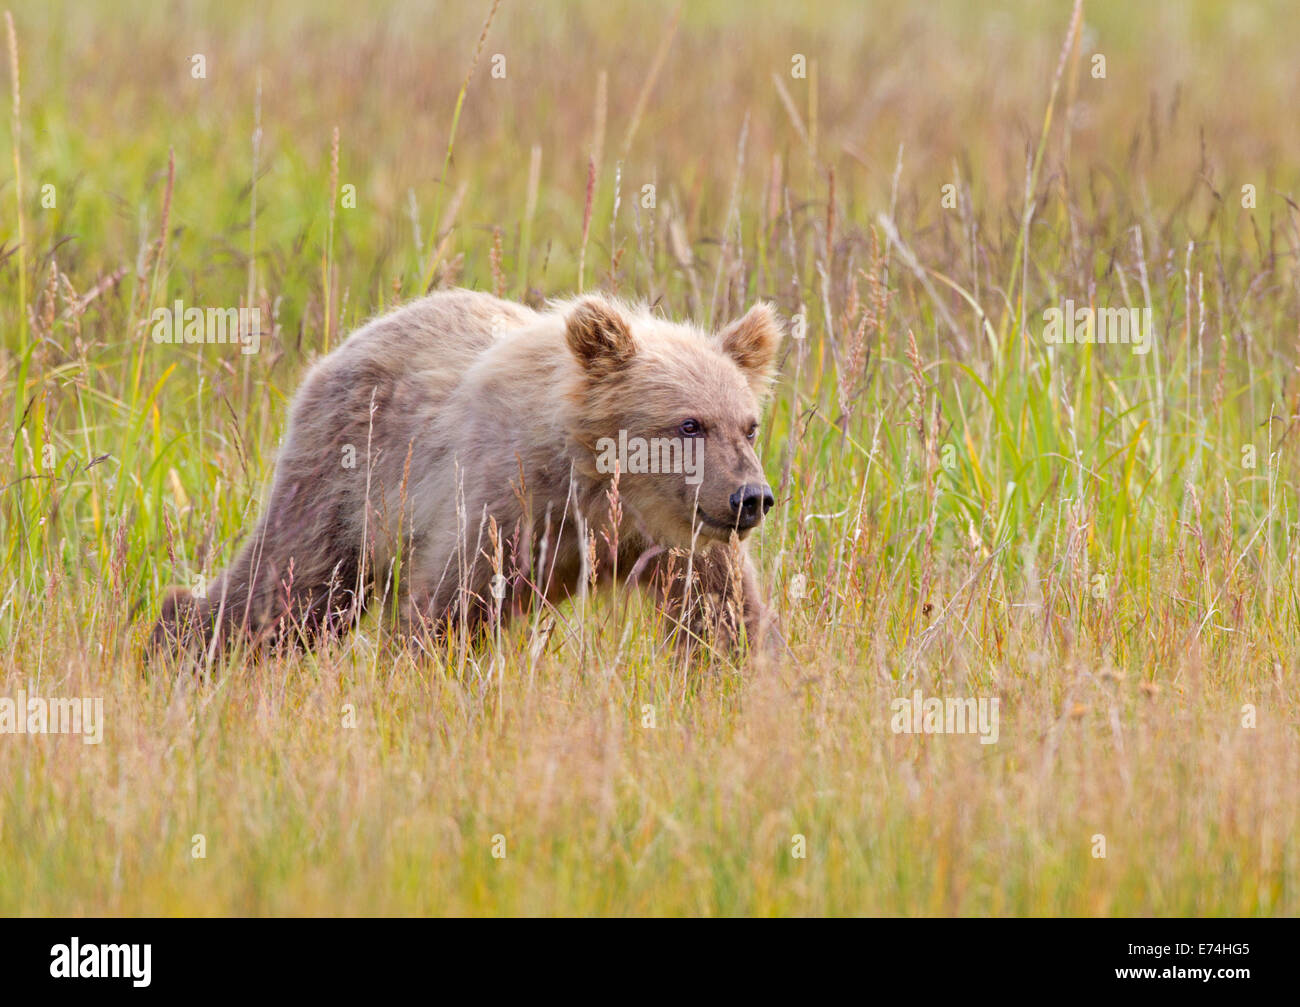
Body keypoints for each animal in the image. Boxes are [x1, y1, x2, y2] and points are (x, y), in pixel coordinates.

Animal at [150, 289, 784, 662]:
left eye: (748, 426)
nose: (751, 497)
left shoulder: (685, 536)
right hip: (341, 477)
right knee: (290, 584)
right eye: (690, 424)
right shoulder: (505, 502)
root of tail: (347, 343)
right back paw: (180, 639)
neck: (604, 493)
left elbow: (723, 614)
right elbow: (448, 608)